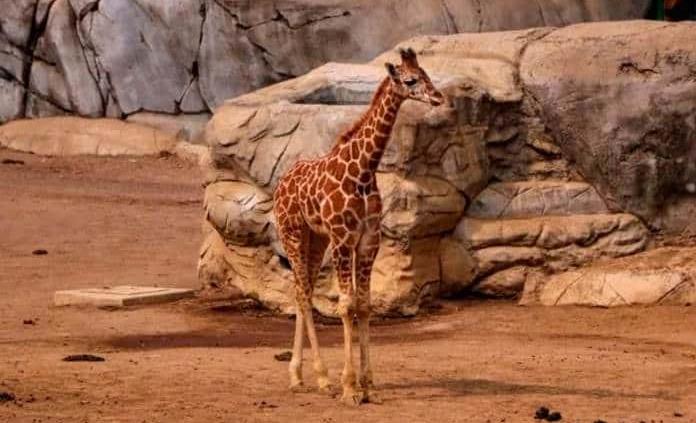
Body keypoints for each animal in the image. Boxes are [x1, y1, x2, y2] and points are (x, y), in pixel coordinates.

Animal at [273, 48, 445, 405]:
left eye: (426, 74)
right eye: (411, 80)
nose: (439, 98)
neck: (363, 173)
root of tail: (281, 184)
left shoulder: (367, 240)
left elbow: (364, 305)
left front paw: (369, 387)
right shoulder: (343, 239)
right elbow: (346, 305)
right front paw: (350, 388)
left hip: (314, 238)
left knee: (302, 290)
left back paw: (303, 376)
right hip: (291, 232)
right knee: (301, 291)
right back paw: (318, 376)